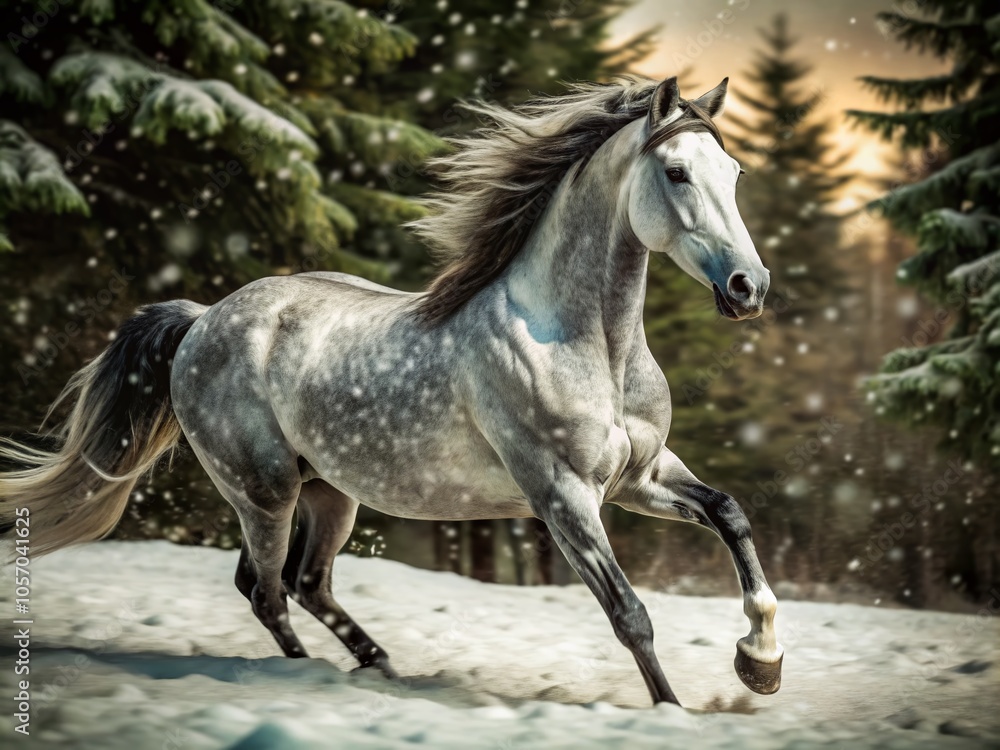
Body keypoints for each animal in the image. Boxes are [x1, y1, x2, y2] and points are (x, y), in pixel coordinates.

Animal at [0, 75, 783, 706]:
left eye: (735, 171)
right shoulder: (561, 495)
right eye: (676, 172)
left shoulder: (639, 477)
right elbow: (630, 615)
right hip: (263, 490)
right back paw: (311, 675)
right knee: (267, 591)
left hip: (328, 491)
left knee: (303, 582)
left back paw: (380, 667)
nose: (750, 287)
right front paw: (674, 710)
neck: (588, 344)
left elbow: (730, 514)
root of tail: (200, 320)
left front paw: (761, 663)